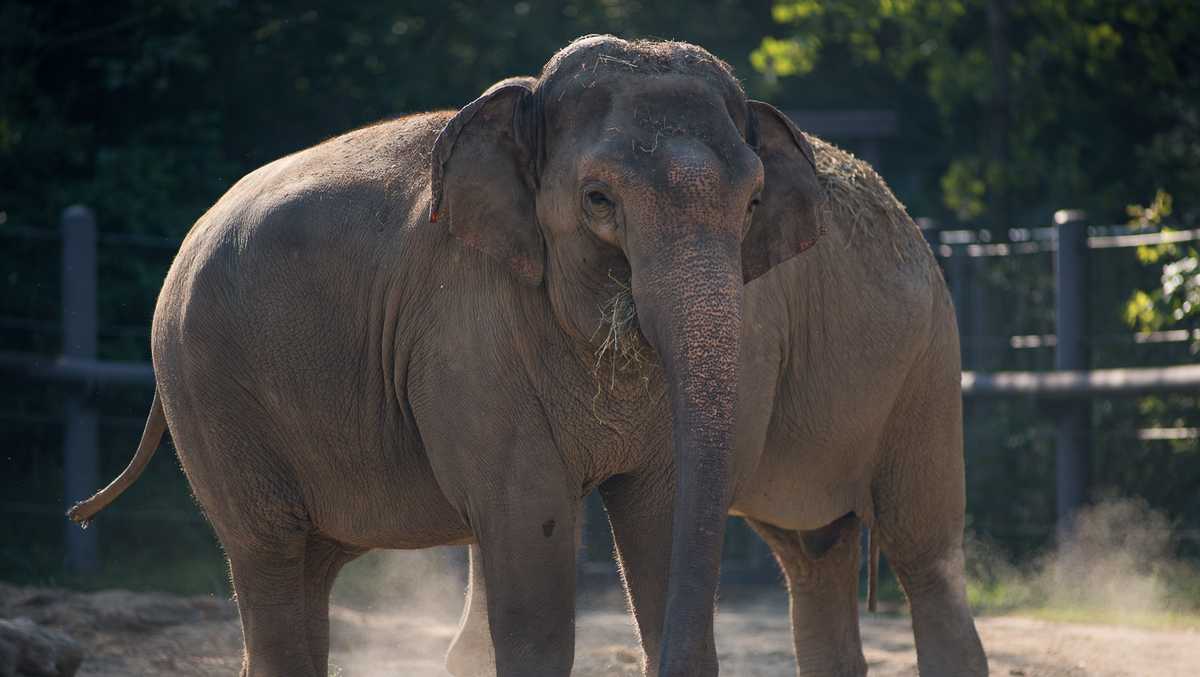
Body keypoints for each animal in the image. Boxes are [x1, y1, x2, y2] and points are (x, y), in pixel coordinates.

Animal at [67, 35, 987, 677]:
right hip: (209, 392)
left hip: (930, 356)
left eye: (754, 201)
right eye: (598, 199)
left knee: (901, 551)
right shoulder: (465, 328)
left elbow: (661, 512)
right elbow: (528, 528)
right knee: (272, 561)